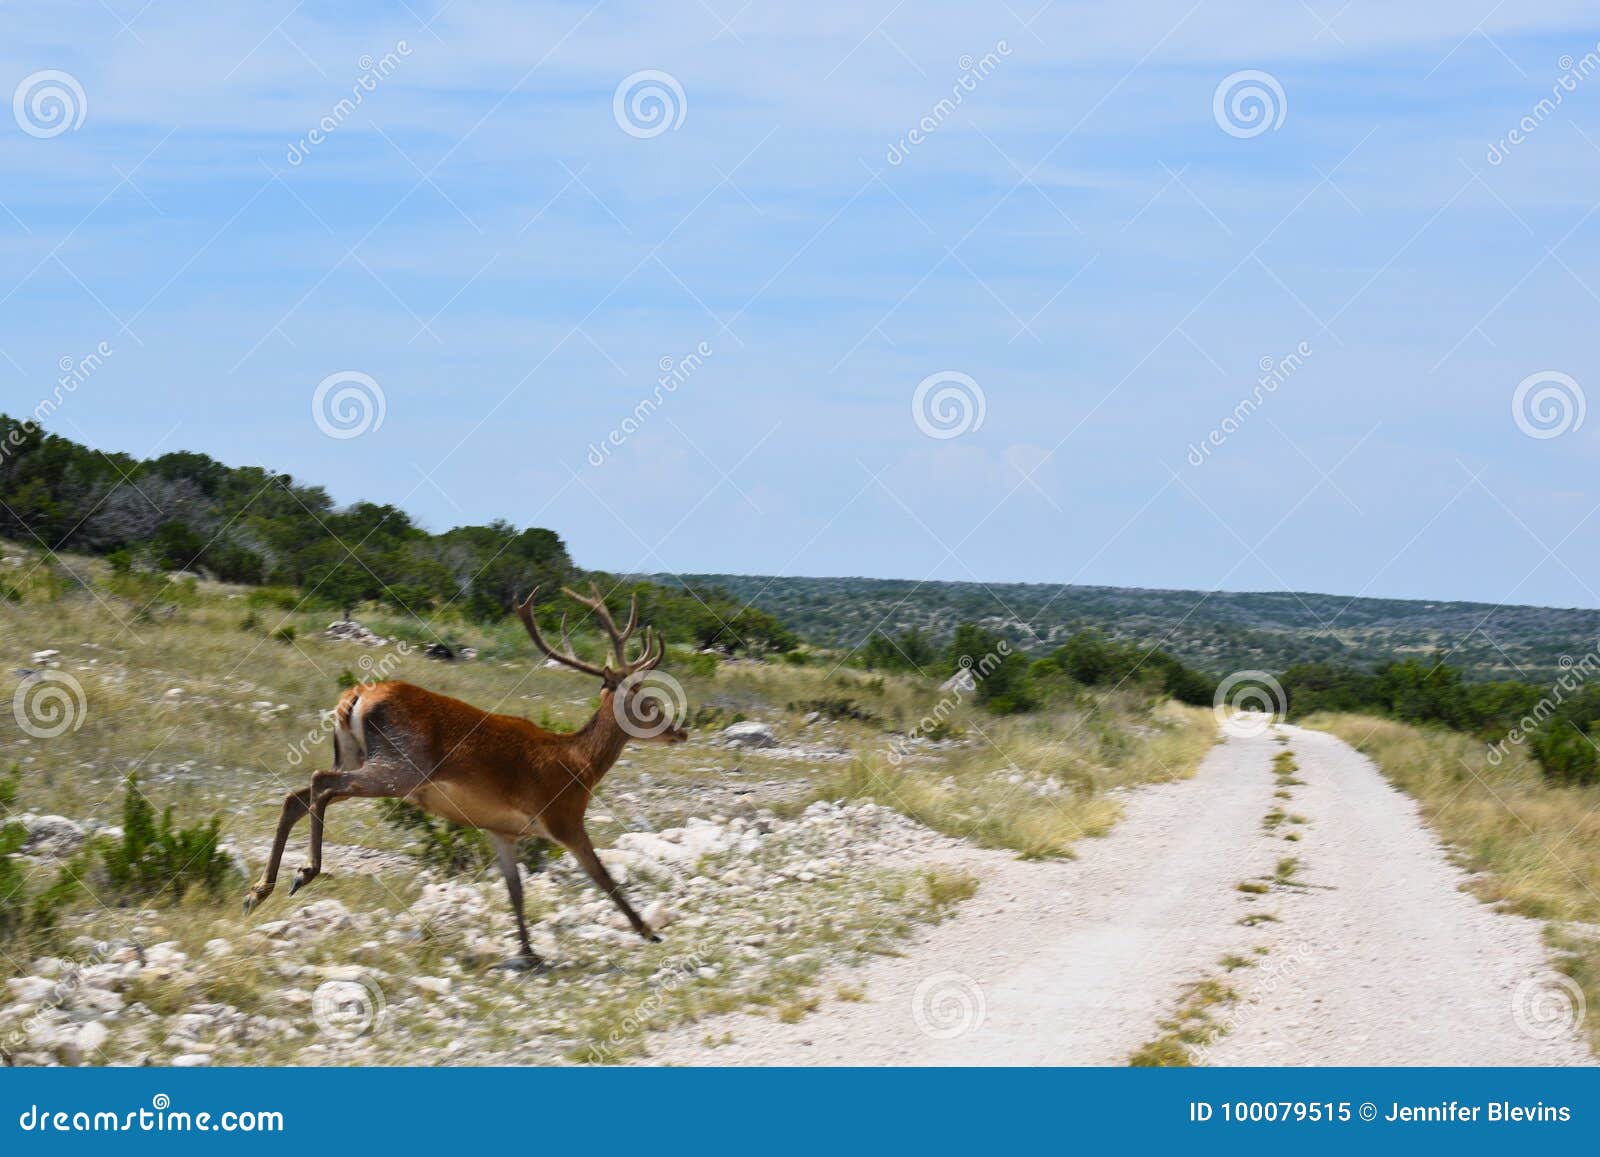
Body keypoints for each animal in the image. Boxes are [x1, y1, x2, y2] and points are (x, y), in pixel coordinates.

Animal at [242, 584, 688, 971]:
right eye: (648, 703)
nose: (680, 731)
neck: (582, 764)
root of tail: (355, 696)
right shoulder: (564, 817)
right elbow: (603, 877)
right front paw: (648, 932)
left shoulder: (502, 830)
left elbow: (516, 891)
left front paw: (529, 952)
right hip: (400, 769)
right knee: (320, 782)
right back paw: (304, 873)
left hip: (357, 756)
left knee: (298, 795)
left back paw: (257, 893)